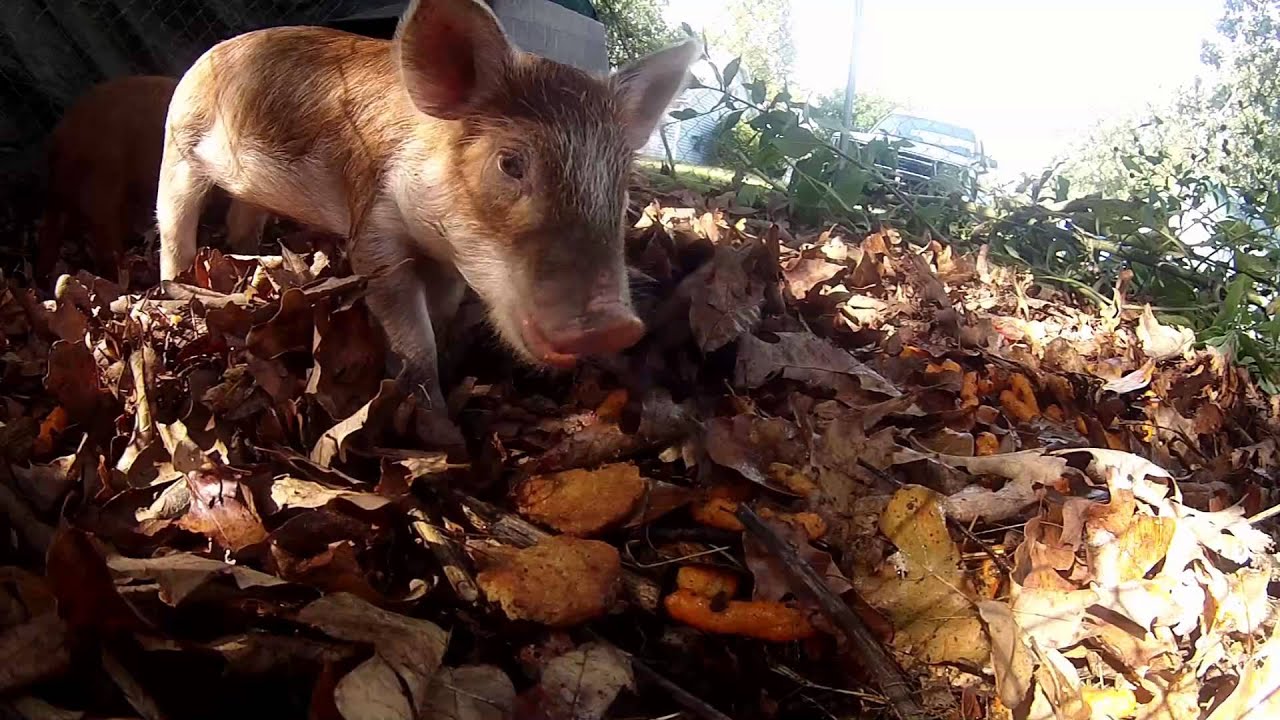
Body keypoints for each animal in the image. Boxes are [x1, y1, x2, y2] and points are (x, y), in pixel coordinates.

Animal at [155, 0, 699, 410]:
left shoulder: (451, 262)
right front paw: (434, 419)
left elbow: (442, 311)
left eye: (622, 182)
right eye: (510, 163)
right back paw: (179, 286)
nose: (614, 325)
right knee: (173, 218)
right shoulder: (374, 228)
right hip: (178, 141)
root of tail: (210, 52)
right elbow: (411, 334)